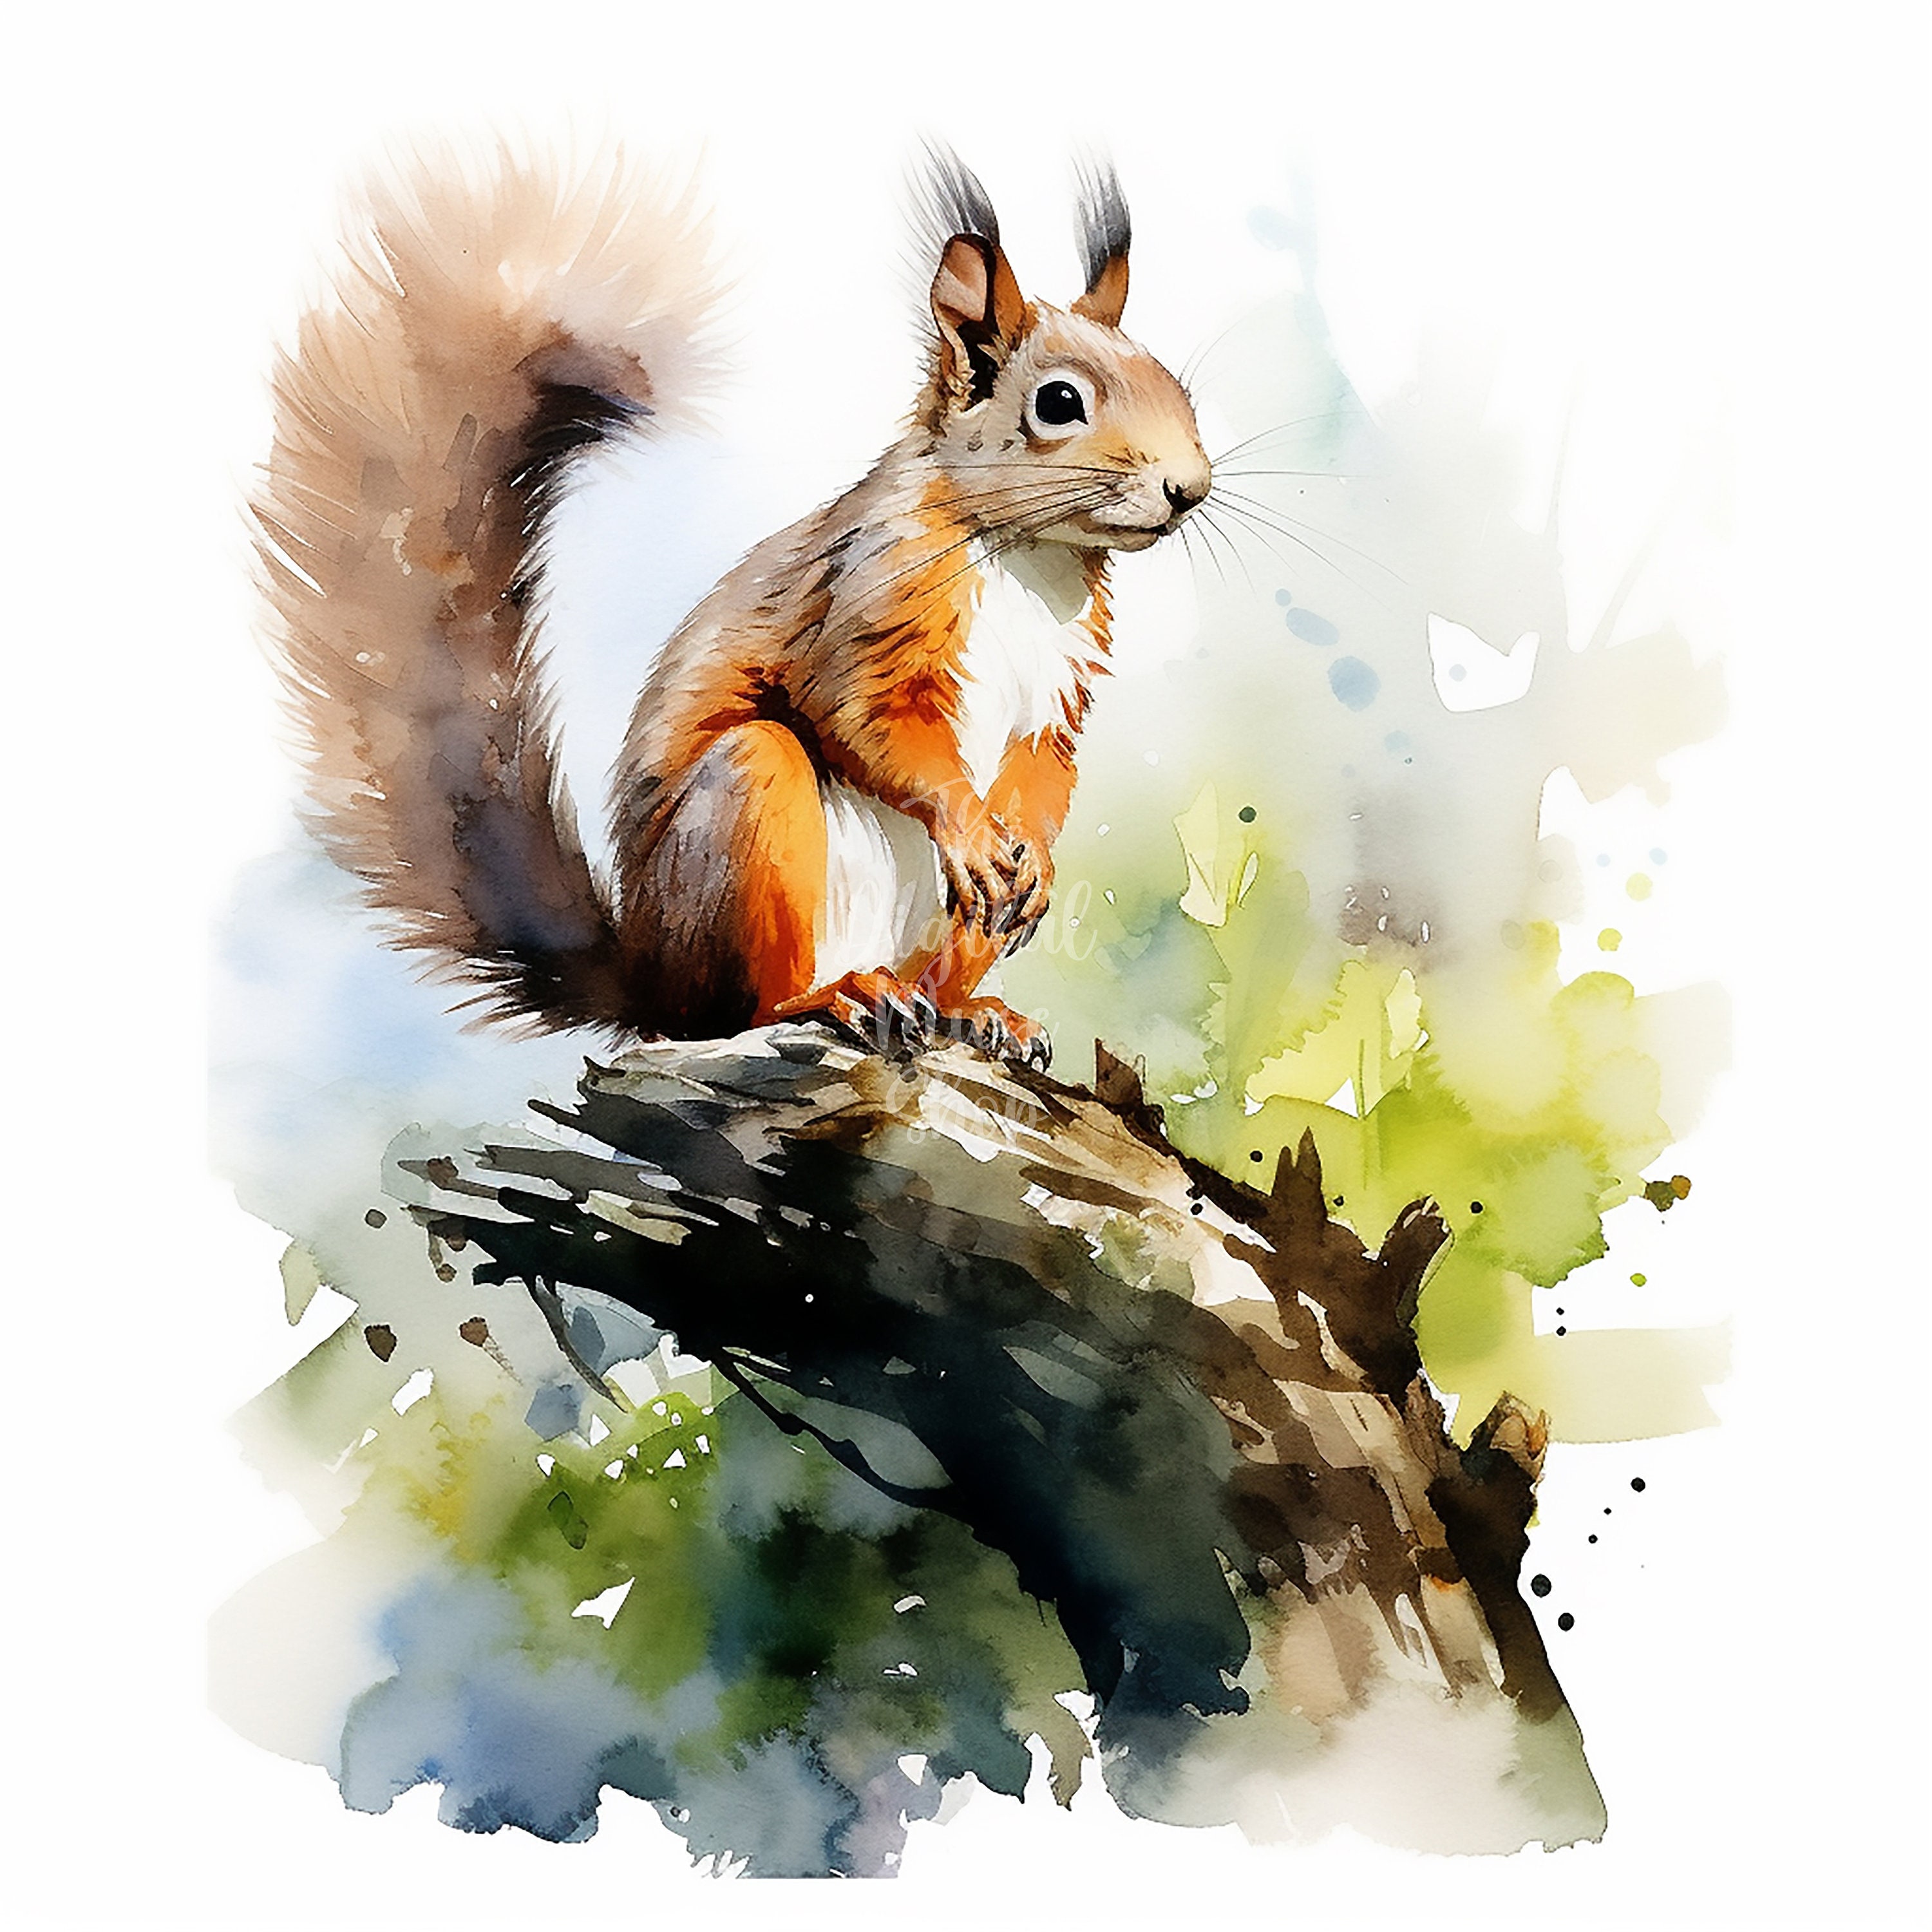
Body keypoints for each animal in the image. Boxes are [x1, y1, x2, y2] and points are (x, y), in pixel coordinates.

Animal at [254, 145, 1210, 1068]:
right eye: (1060, 403)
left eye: (1178, 385)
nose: (1189, 490)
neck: (1026, 554)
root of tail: (650, 988)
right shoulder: (866, 599)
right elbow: (867, 717)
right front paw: (970, 829)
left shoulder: (1058, 688)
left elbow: (1046, 767)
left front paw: (1032, 864)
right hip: (745, 826)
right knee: (752, 1001)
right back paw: (837, 997)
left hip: (937, 932)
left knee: (937, 983)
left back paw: (977, 1014)